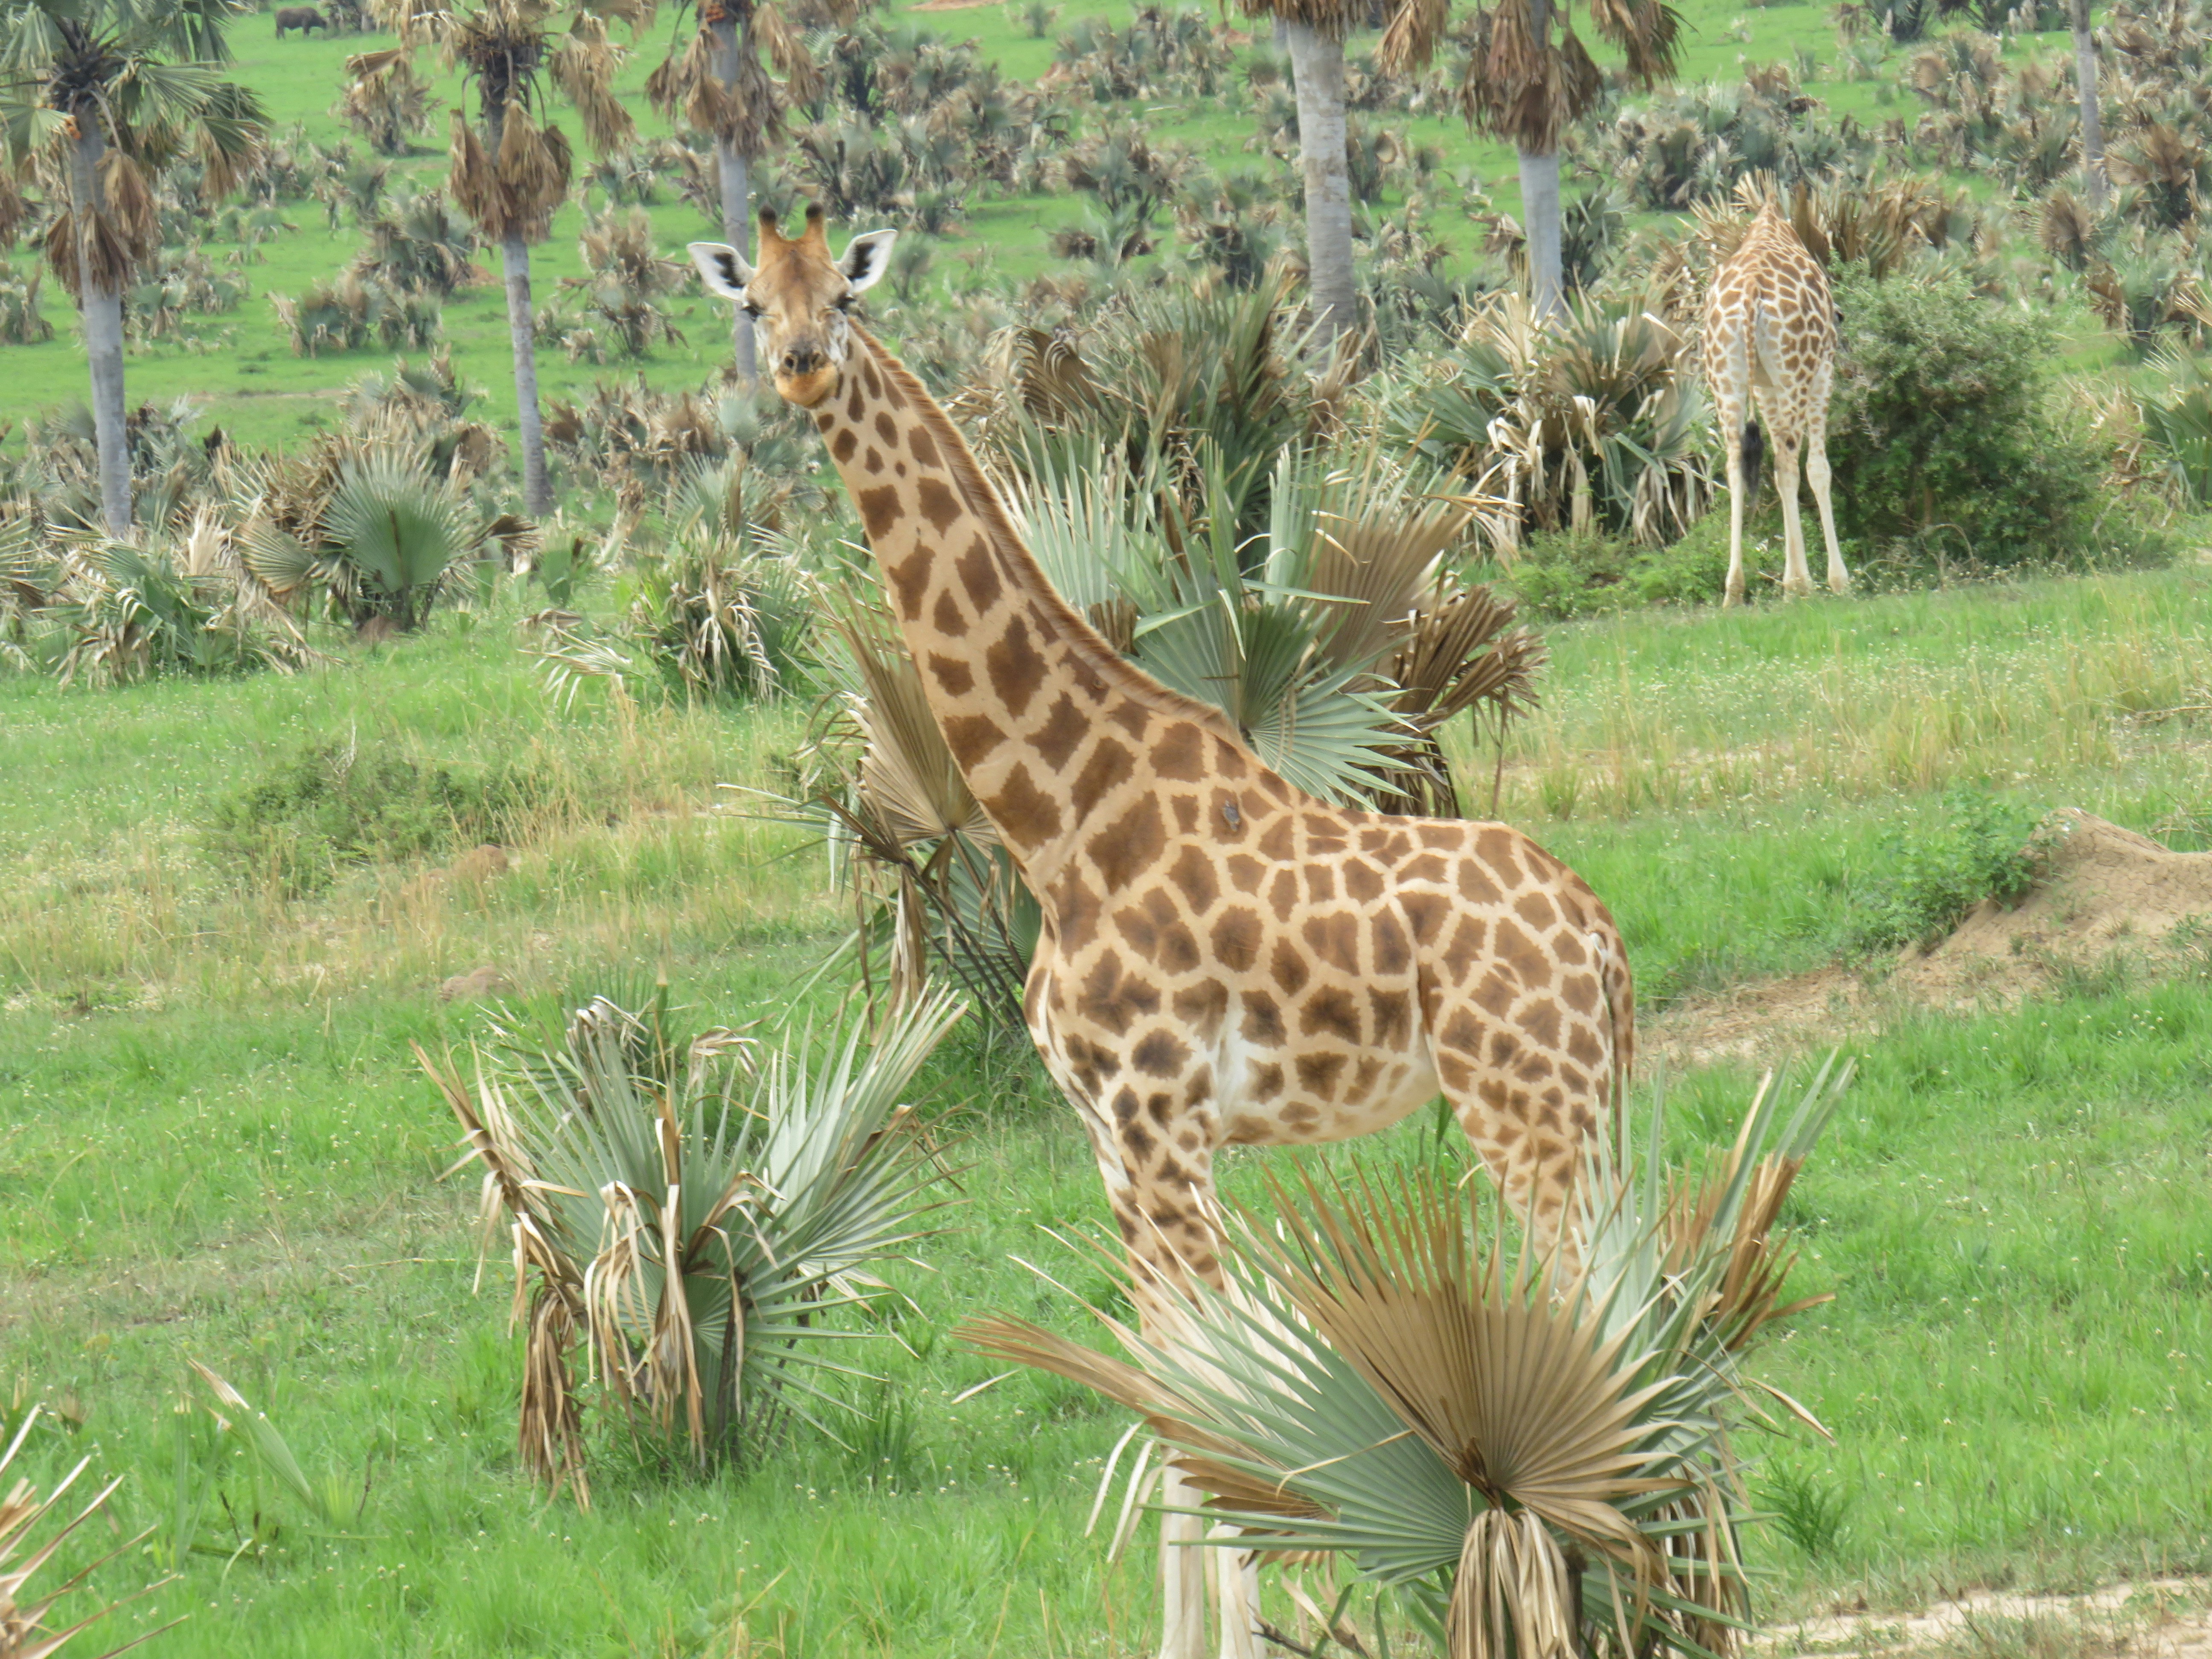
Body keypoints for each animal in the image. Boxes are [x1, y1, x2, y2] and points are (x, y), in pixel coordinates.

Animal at [692, 207, 1636, 1659]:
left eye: (842, 296)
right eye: (754, 303)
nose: (798, 367)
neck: (1066, 817)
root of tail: (1596, 935)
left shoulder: (1159, 1121)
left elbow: (1213, 1396)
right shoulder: (1115, 1136)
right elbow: (1169, 1383)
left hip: (1527, 1109)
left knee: (1609, 1323)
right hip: (1573, 1108)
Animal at [1702, 197, 1849, 607]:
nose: (1840, 316)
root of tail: (1752, 293)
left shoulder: (1764, 389)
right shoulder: (1822, 372)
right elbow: (1818, 469)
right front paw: (1836, 581)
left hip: (1726, 378)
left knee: (1736, 465)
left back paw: (1734, 589)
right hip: (1796, 372)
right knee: (1788, 461)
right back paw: (1801, 585)